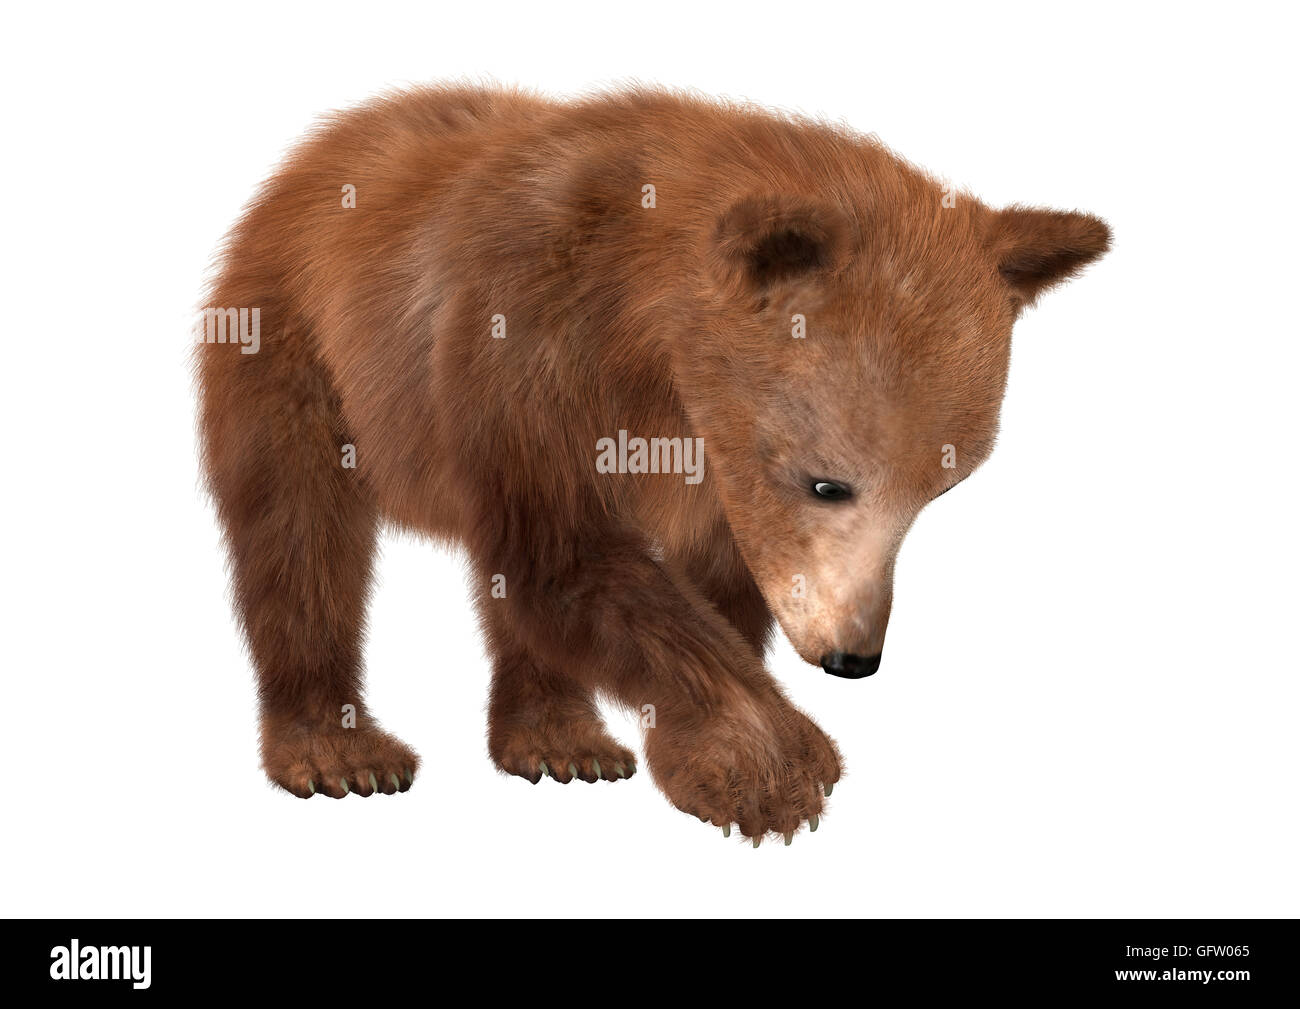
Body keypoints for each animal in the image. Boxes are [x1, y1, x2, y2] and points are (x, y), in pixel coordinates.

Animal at [196, 84, 1109, 844]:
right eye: (829, 482)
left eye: (941, 490)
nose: (854, 656)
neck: (652, 342)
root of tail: (326, 143)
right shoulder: (526, 341)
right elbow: (569, 555)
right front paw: (774, 771)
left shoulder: (717, 470)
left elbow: (698, 586)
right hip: (295, 343)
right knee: (301, 535)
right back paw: (339, 751)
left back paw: (560, 739)